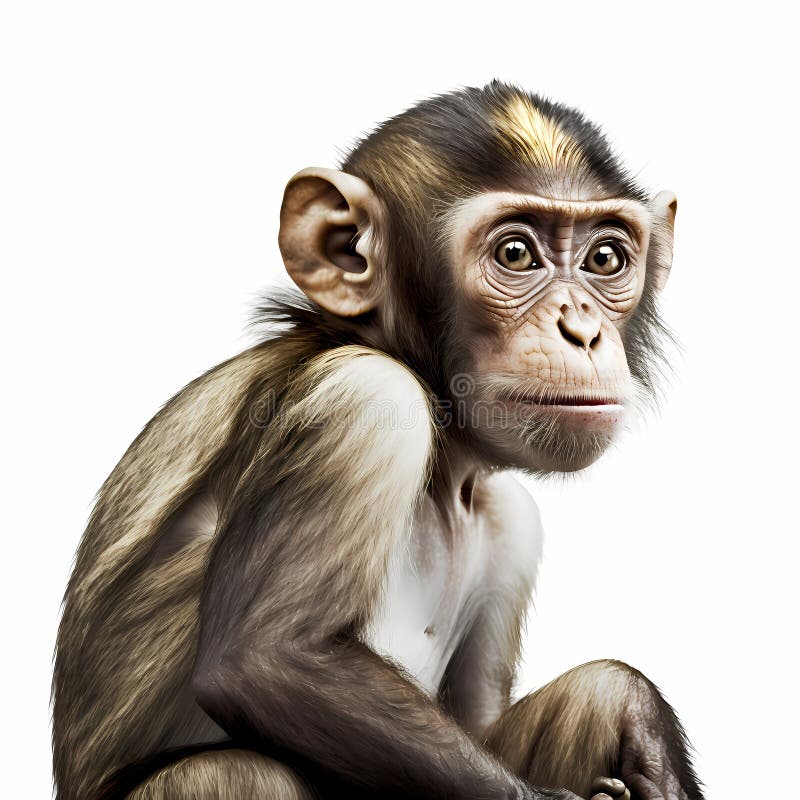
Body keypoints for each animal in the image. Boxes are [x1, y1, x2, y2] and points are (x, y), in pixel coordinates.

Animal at [52, 81, 703, 800]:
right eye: (515, 254)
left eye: (605, 259)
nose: (581, 329)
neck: (445, 459)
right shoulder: (362, 405)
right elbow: (268, 658)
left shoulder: (515, 524)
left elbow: (479, 722)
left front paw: (646, 732)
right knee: (234, 770)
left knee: (597, 686)